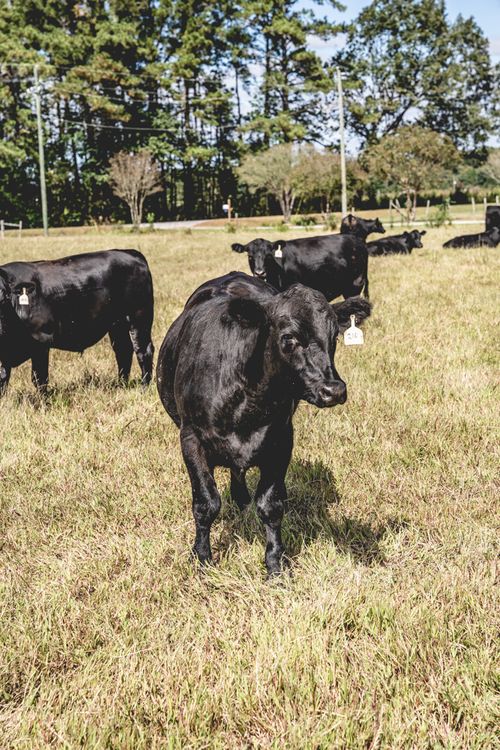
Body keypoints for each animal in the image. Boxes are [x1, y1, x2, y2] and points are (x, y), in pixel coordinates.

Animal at [0, 249, 154, 394]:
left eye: (3, 298)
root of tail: (130, 252)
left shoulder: (42, 341)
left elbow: (39, 378)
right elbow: (3, 378)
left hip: (139, 317)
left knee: (143, 351)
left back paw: (143, 388)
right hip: (117, 324)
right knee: (123, 351)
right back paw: (120, 385)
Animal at [156, 271, 371, 577]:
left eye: (334, 337)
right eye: (289, 337)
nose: (334, 390)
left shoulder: (281, 442)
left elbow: (271, 506)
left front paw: (275, 565)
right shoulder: (191, 440)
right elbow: (206, 503)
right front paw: (202, 559)